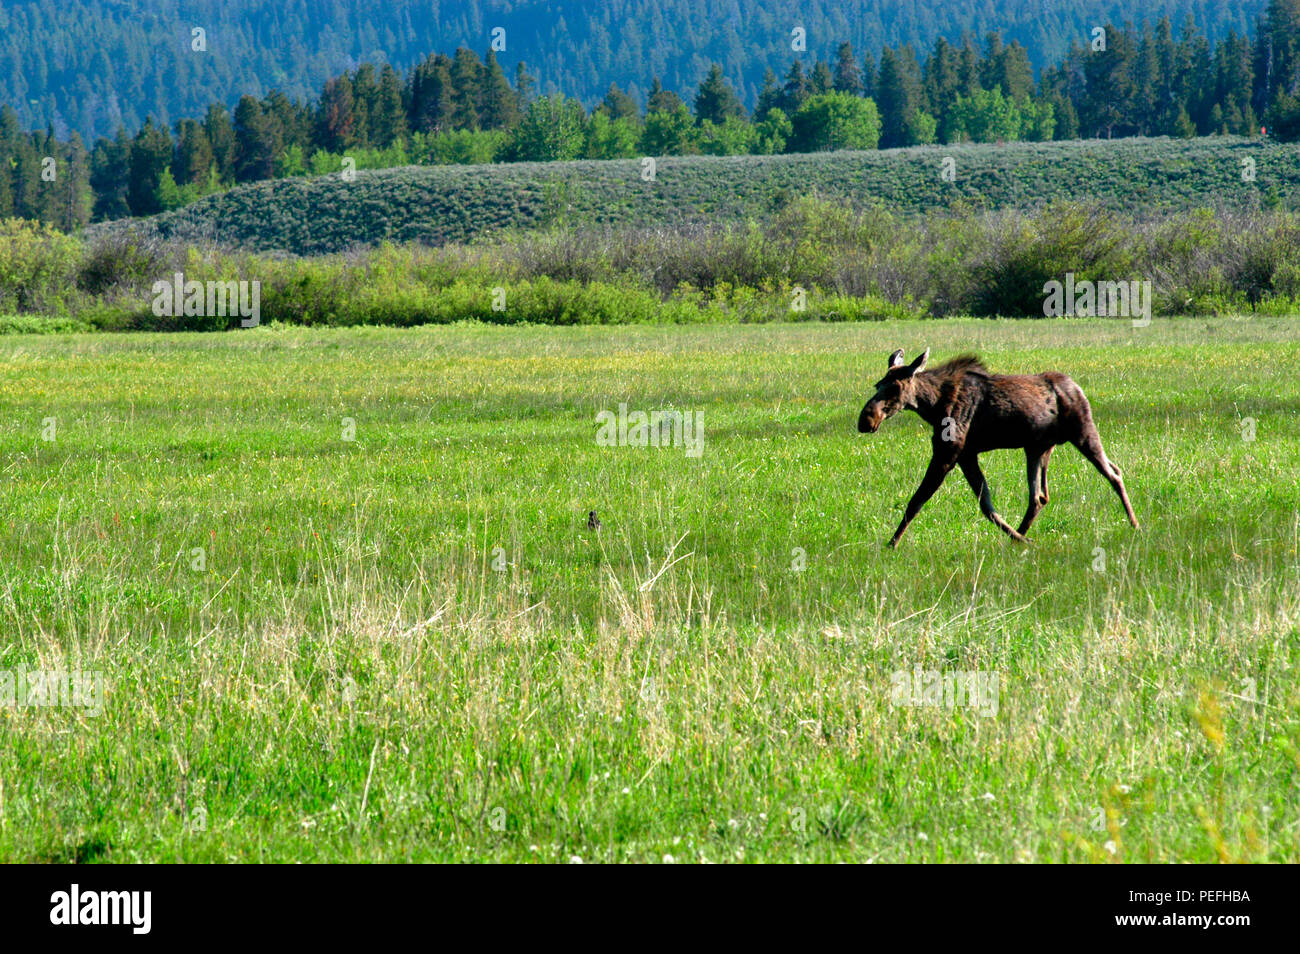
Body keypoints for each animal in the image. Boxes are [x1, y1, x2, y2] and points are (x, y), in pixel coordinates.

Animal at [857, 349, 1139, 546]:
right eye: (877, 385)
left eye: (895, 387)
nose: (866, 420)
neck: (932, 407)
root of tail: (1077, 388)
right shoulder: (966, 455)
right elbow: (986, 504)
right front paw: (1018, 538)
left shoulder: (948, 453)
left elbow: (916, 501)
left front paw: (892, 543)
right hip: (1037, 448)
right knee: (1039, 496)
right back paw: (1021, 534)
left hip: (1083, 432)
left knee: (1113, 473)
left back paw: (1135, 524)